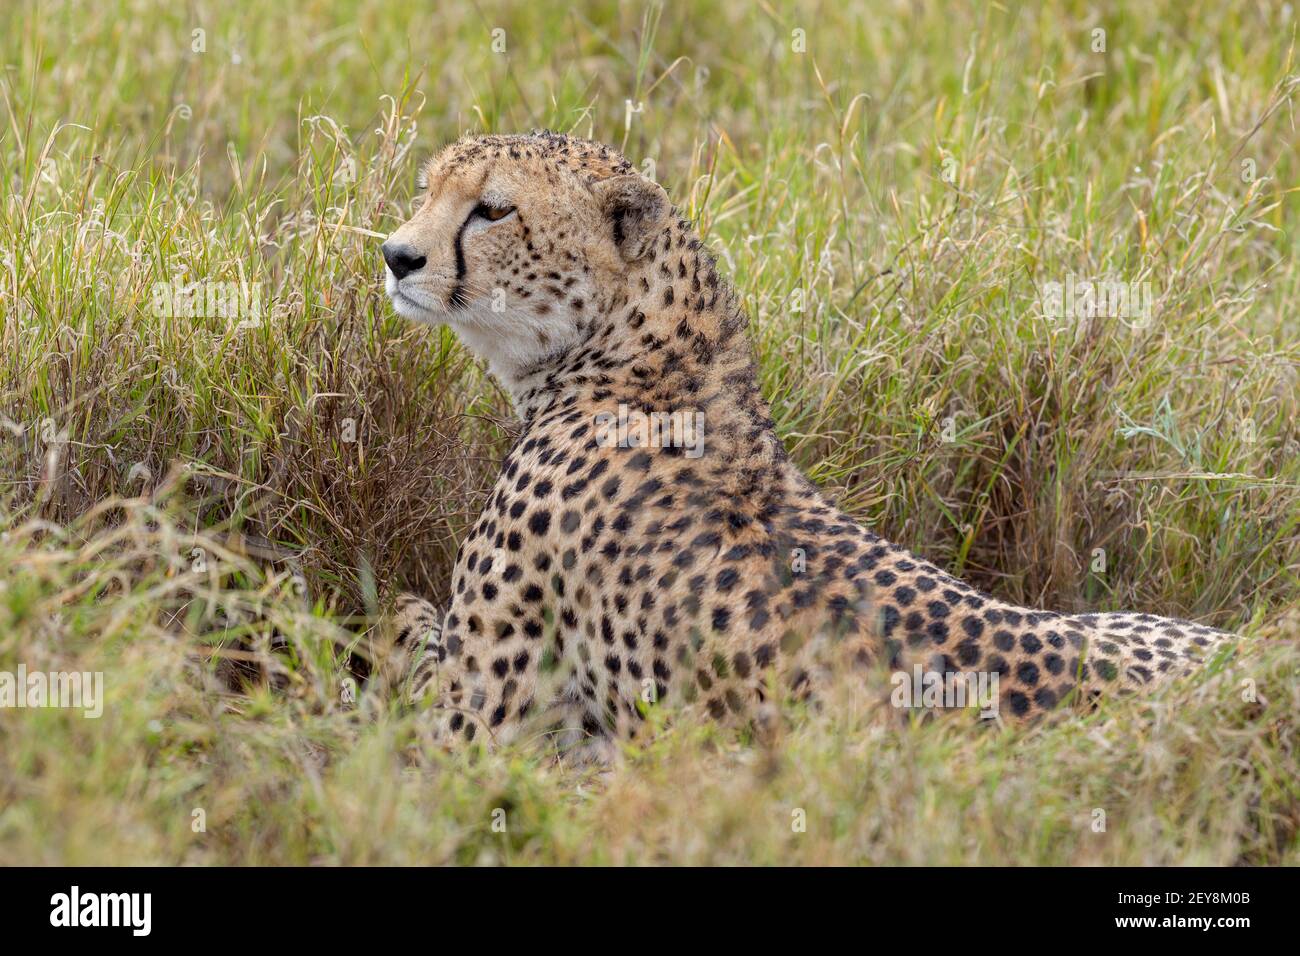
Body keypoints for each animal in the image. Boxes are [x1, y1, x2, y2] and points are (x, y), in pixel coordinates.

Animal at [379, 130, 1235, 754]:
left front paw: (384, 604)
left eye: (493, 210)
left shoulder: (467, 727)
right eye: (429, 188)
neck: (648, 361)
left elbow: (396, 644)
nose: (396, 255)